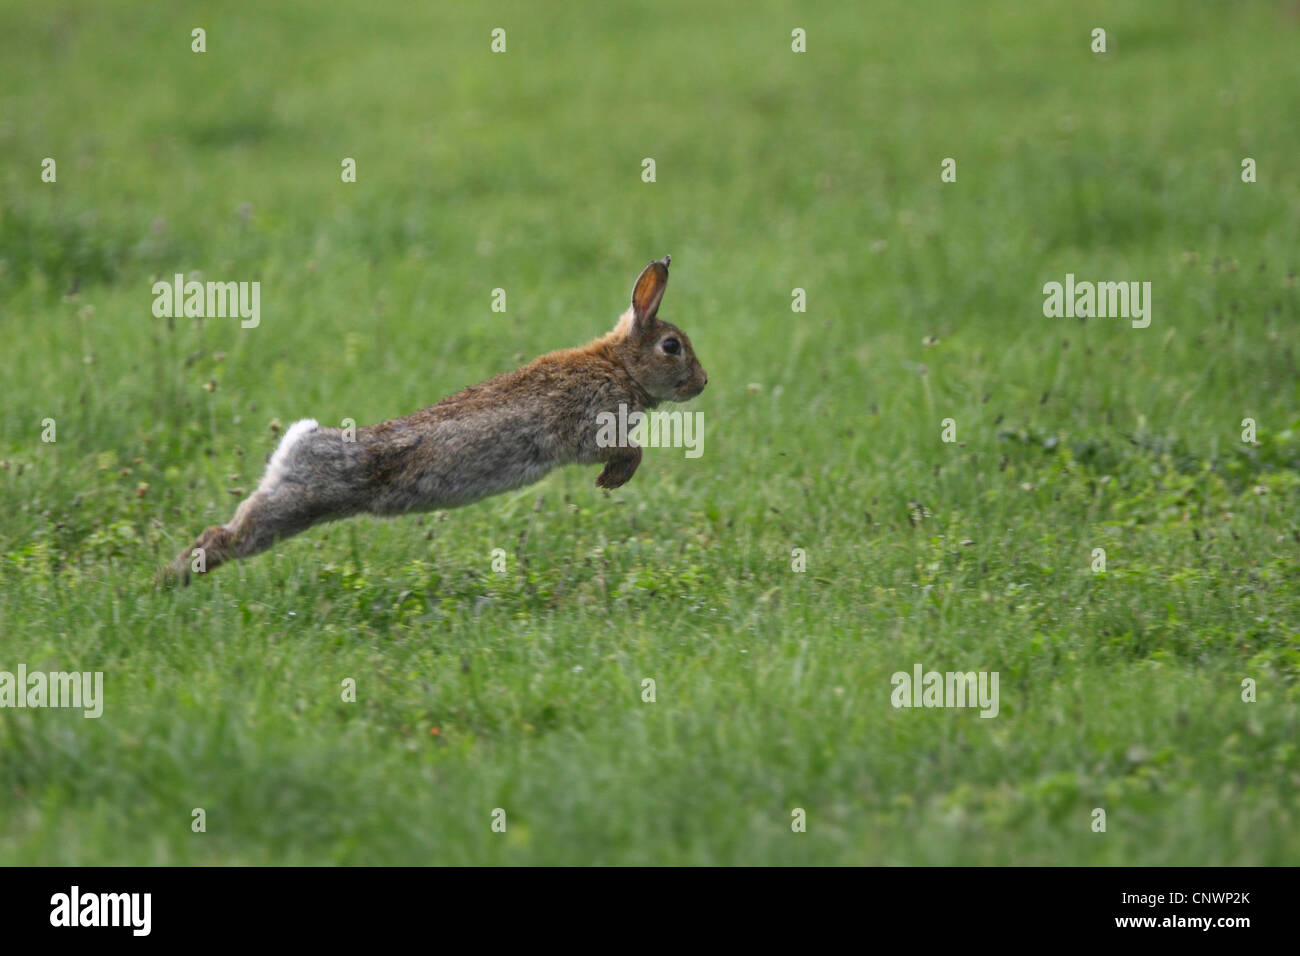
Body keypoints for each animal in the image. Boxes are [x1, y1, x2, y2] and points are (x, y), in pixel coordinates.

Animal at [161, 255, 706, 585]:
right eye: (671, 346)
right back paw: (170, 580)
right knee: (229, 536)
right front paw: (611, 480)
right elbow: (624, 450)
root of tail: (301, 442)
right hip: (300, 502)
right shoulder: (592, 422)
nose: (702, 382)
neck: (620, 366)